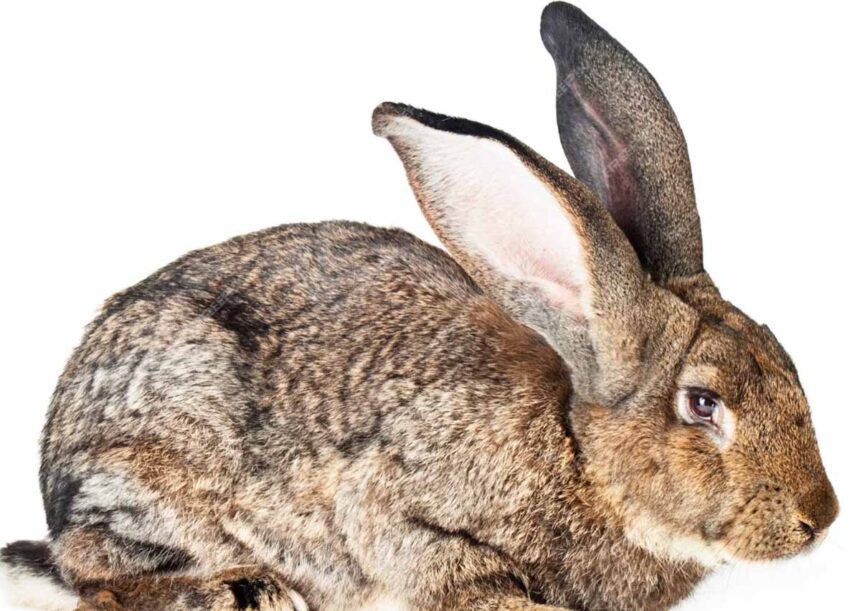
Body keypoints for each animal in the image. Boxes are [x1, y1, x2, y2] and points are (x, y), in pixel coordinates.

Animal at [0, 2, 838, 610]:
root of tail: (53, 470)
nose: (821, 518)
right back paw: (242, 590)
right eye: (702, 404)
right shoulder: (400, 513)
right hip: (159, 458)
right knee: (93, 568)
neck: (577, 455)